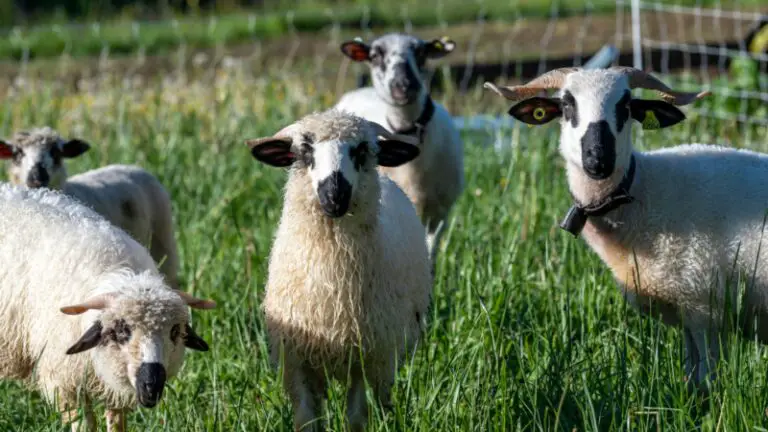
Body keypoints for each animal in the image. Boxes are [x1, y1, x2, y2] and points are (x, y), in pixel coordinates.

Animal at [0, 183, 215, 432]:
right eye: (122, 331)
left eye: (174, 332)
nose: (151, 386)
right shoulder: (66, 382)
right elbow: (83, 424)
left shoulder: (115, 387)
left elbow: (116, 422)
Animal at [246, 109, 432, 431]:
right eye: (306, 151)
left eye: (361, 151)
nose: (335, 196)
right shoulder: (296, 359)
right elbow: (307, 419)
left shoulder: (366, 357)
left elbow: (356, 418)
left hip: (387, 352)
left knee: (383, 395)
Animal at [483, 66, 768, 390]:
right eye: (567, 104)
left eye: (626, 105)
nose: (598, 159)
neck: (641, 188)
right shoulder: (687, 307)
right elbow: (692, 377)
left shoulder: (705, 306)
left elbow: (707, 381)